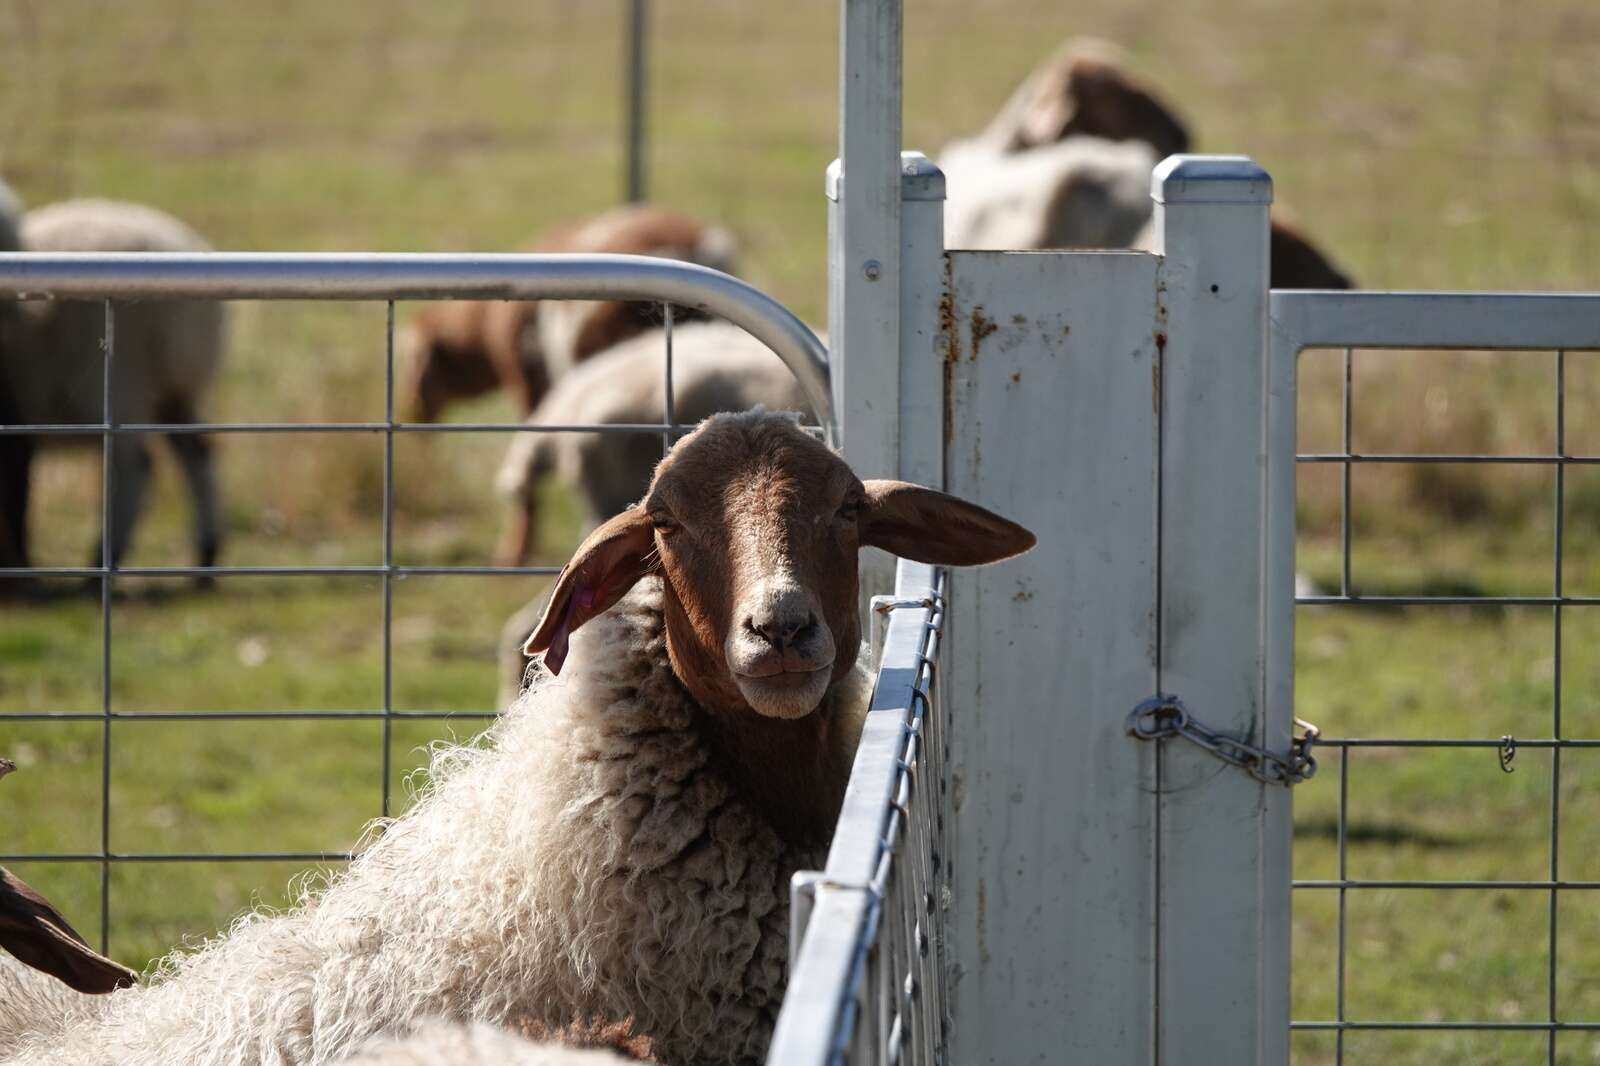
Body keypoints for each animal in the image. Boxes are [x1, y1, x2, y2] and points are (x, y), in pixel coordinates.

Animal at [0, 198, 226, 578]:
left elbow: (15, 491)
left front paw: (20, 567)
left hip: (121, 383)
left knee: (135, 466)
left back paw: (101, 560)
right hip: (171, 392)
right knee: (198, 453)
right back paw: (204, 557)